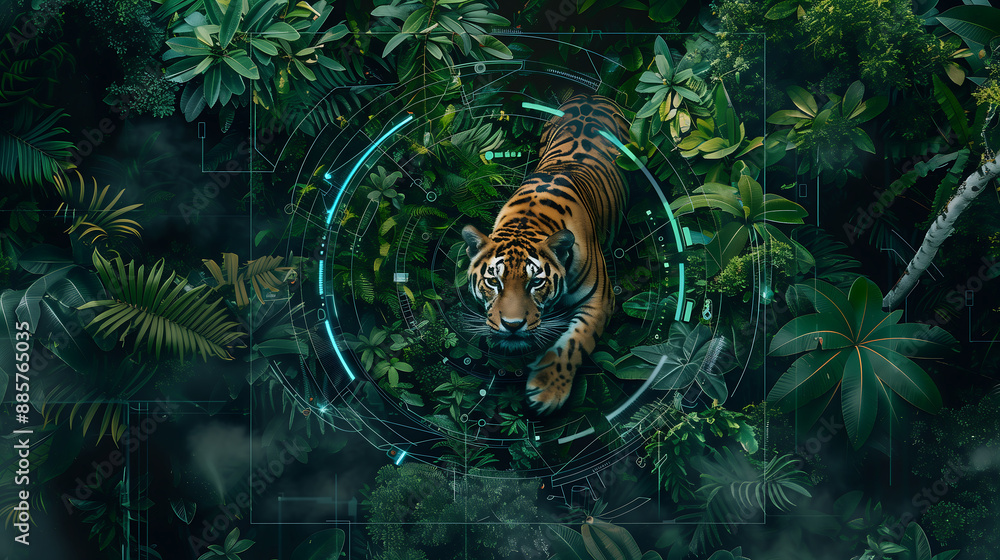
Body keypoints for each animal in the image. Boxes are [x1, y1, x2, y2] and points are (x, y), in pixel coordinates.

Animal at [462, 95, 629, 413]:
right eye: (493, 282)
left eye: (536, 282)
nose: (512, 326)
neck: (525, 223)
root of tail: (591, 95)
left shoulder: (600, 300)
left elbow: (576, 341)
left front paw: (547, 390)